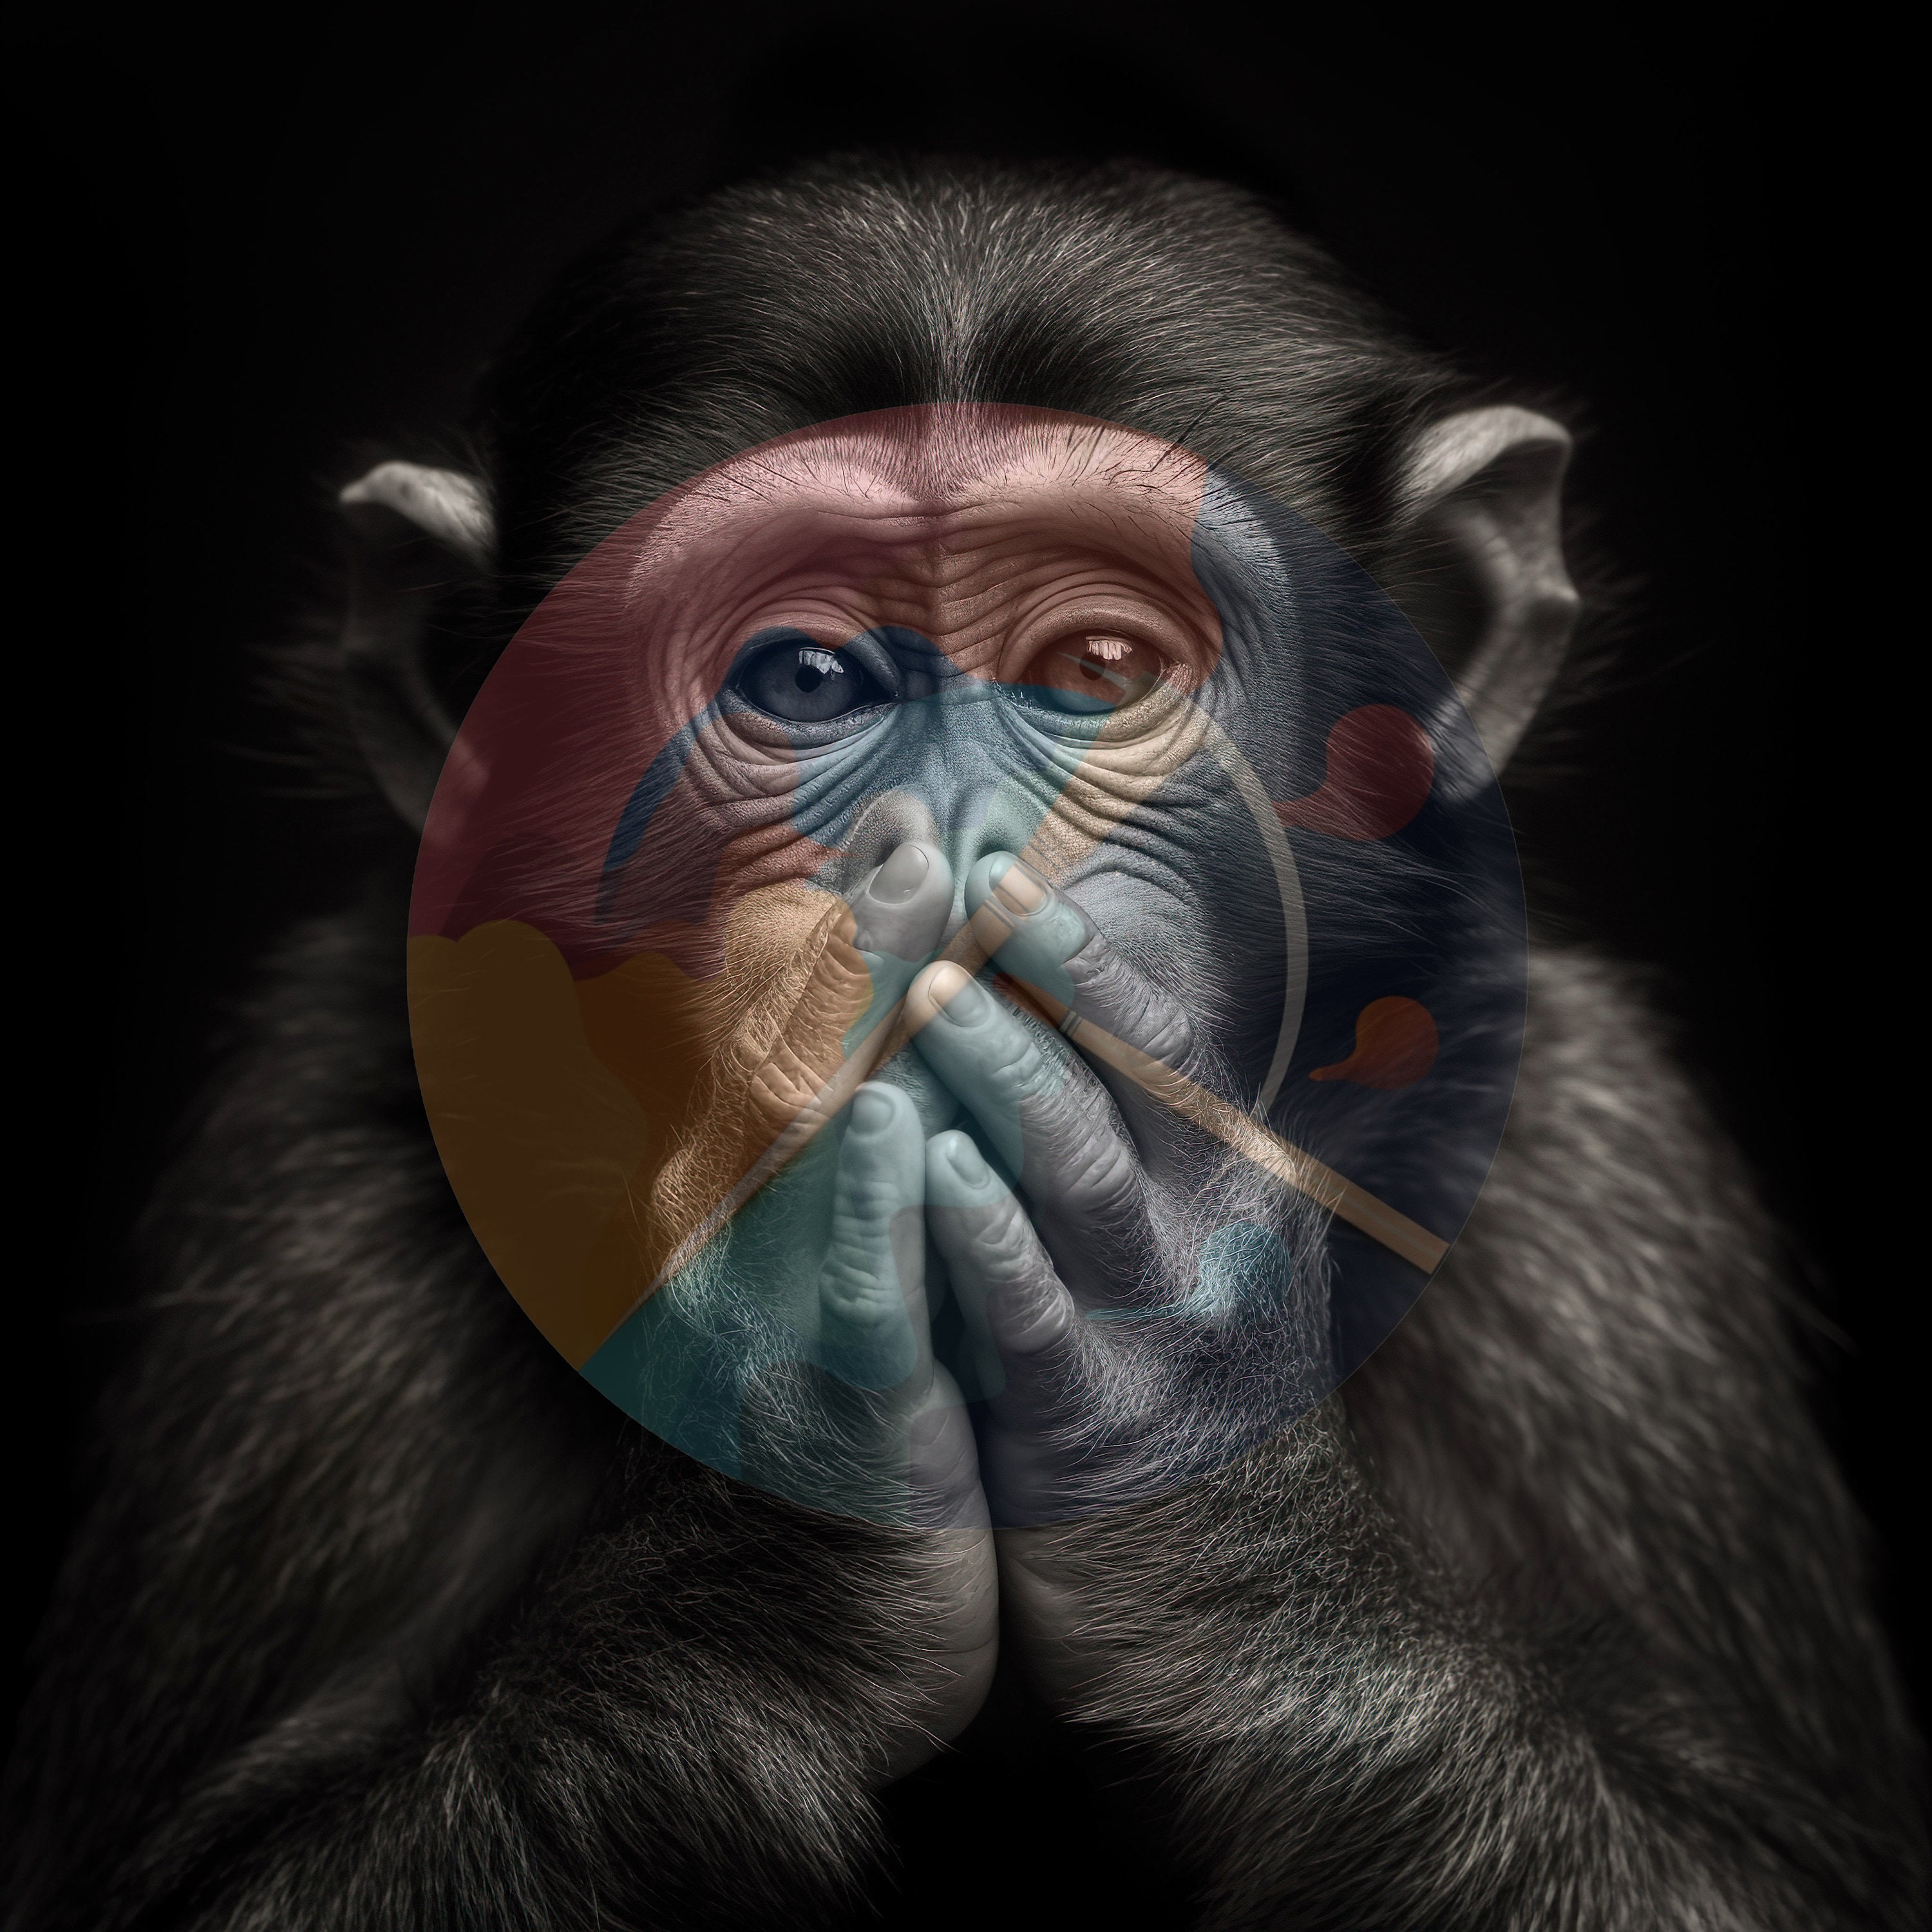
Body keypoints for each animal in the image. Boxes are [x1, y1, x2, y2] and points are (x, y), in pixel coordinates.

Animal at [3, 154, 1923, 1931]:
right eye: (801, 679)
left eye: (1098, 664)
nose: (943, 847)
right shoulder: (304, 1216)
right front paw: (782, 1515)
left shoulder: (1610, 1219)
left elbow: (1729, 1870)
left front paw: (1201, 1475)